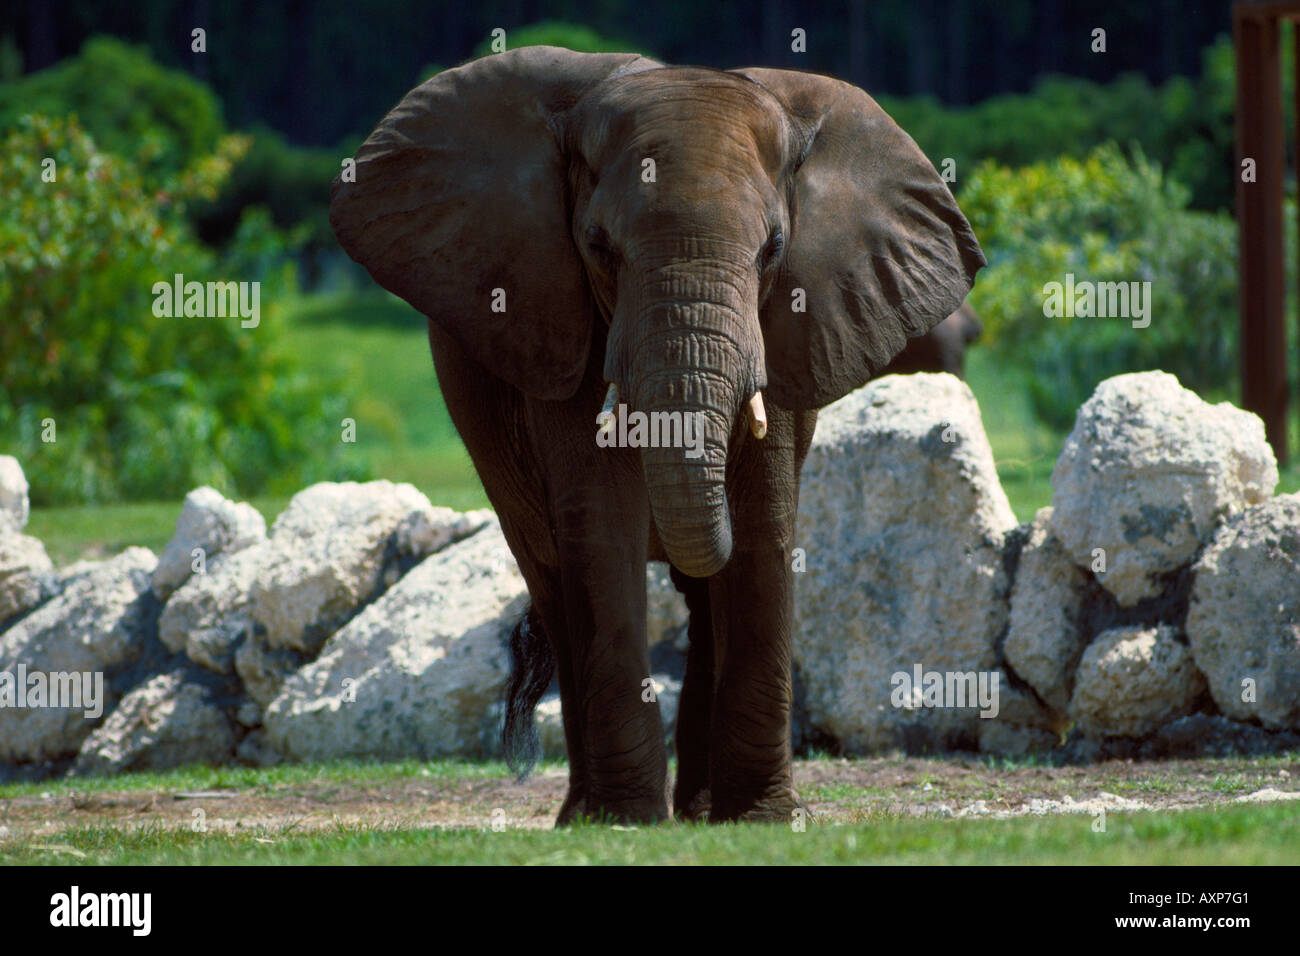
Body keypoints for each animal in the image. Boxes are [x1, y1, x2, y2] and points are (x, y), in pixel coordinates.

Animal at [330, 46, 985, 825]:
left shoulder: (792, 322)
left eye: (774, 250)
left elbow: (762, 525)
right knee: (555, 588)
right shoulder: (561, 322)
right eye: (598, 246)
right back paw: (585, 812)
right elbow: (600, 526)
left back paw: (700, 810)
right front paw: (626, 820)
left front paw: (766, 819)